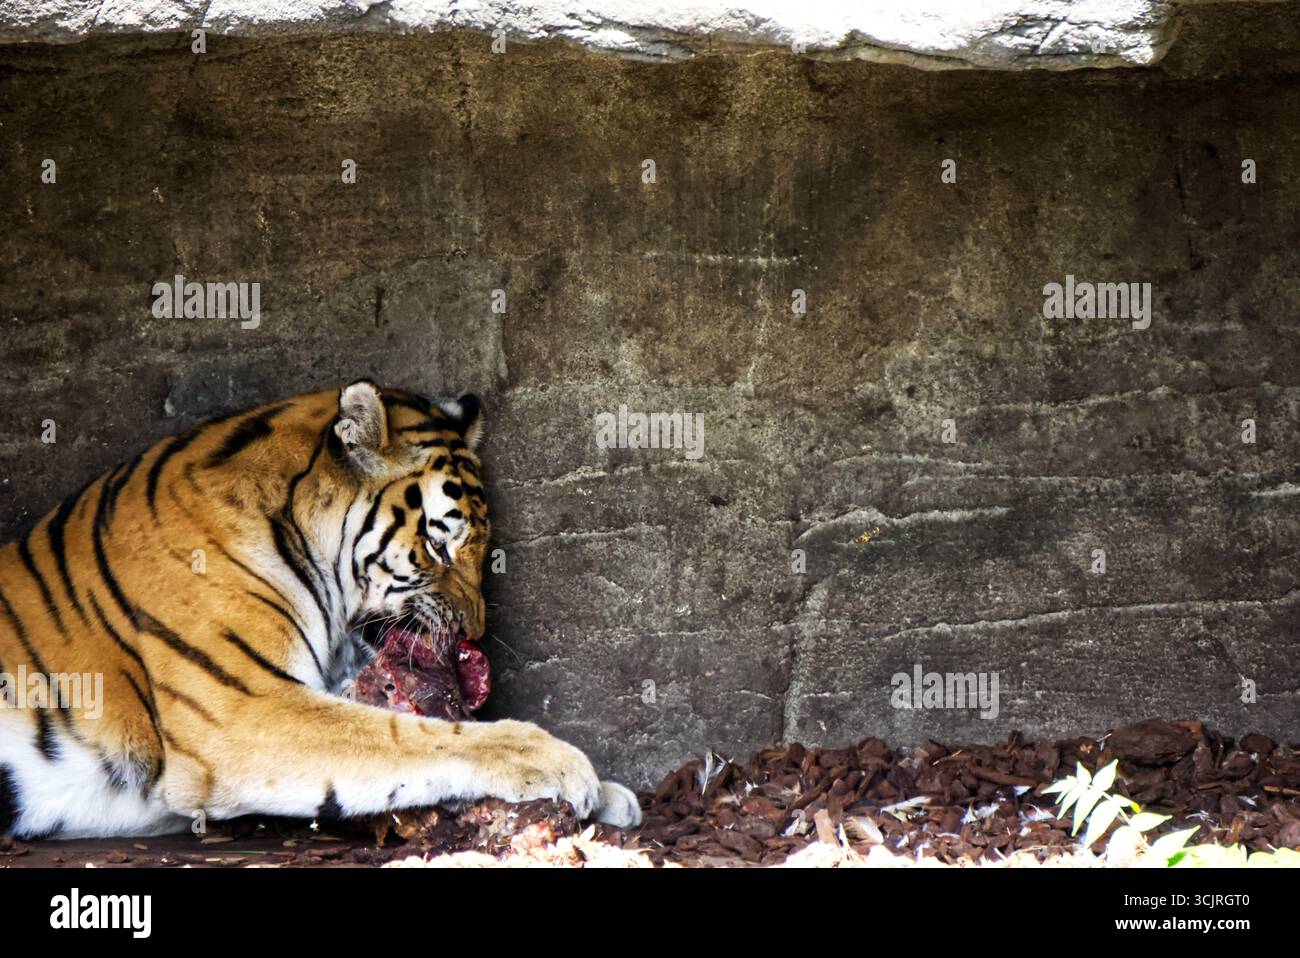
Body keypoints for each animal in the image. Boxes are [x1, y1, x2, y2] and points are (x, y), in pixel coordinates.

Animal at [0, 381, 640, 839]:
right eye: (439, 546)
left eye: (485, 551)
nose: (474, 632)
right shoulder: (243, 709)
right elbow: (411, 736)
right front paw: (558, 761)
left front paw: (613, 794)